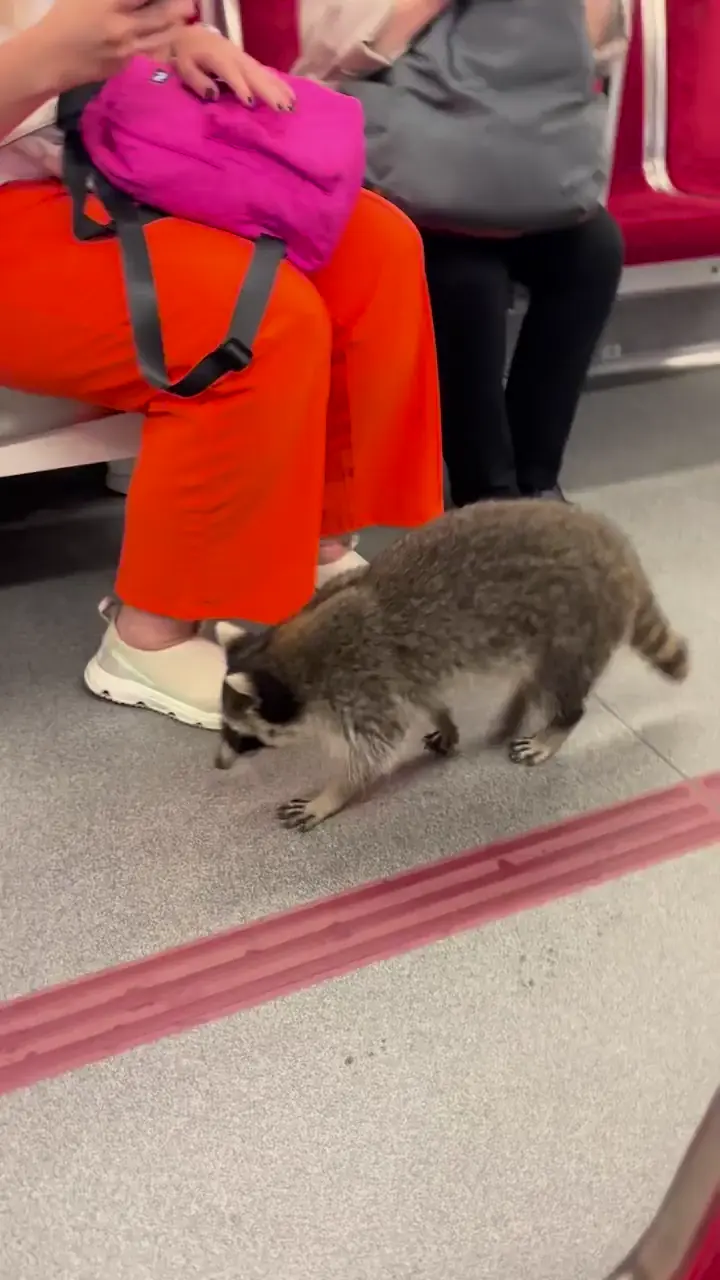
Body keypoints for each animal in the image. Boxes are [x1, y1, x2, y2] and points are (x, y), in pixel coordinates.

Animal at [216, 500, 689, 831]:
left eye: (240, 735)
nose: (218, 765)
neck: (287, 658)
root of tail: (619, 550)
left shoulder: (361, 681)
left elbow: (373, 750)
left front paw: (330, 794)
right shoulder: (399, 674)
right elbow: (425, 695)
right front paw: (446, 722)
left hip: (577, 621)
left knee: (563, 684)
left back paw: (556, 725)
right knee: (536, 673)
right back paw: (517, 706)